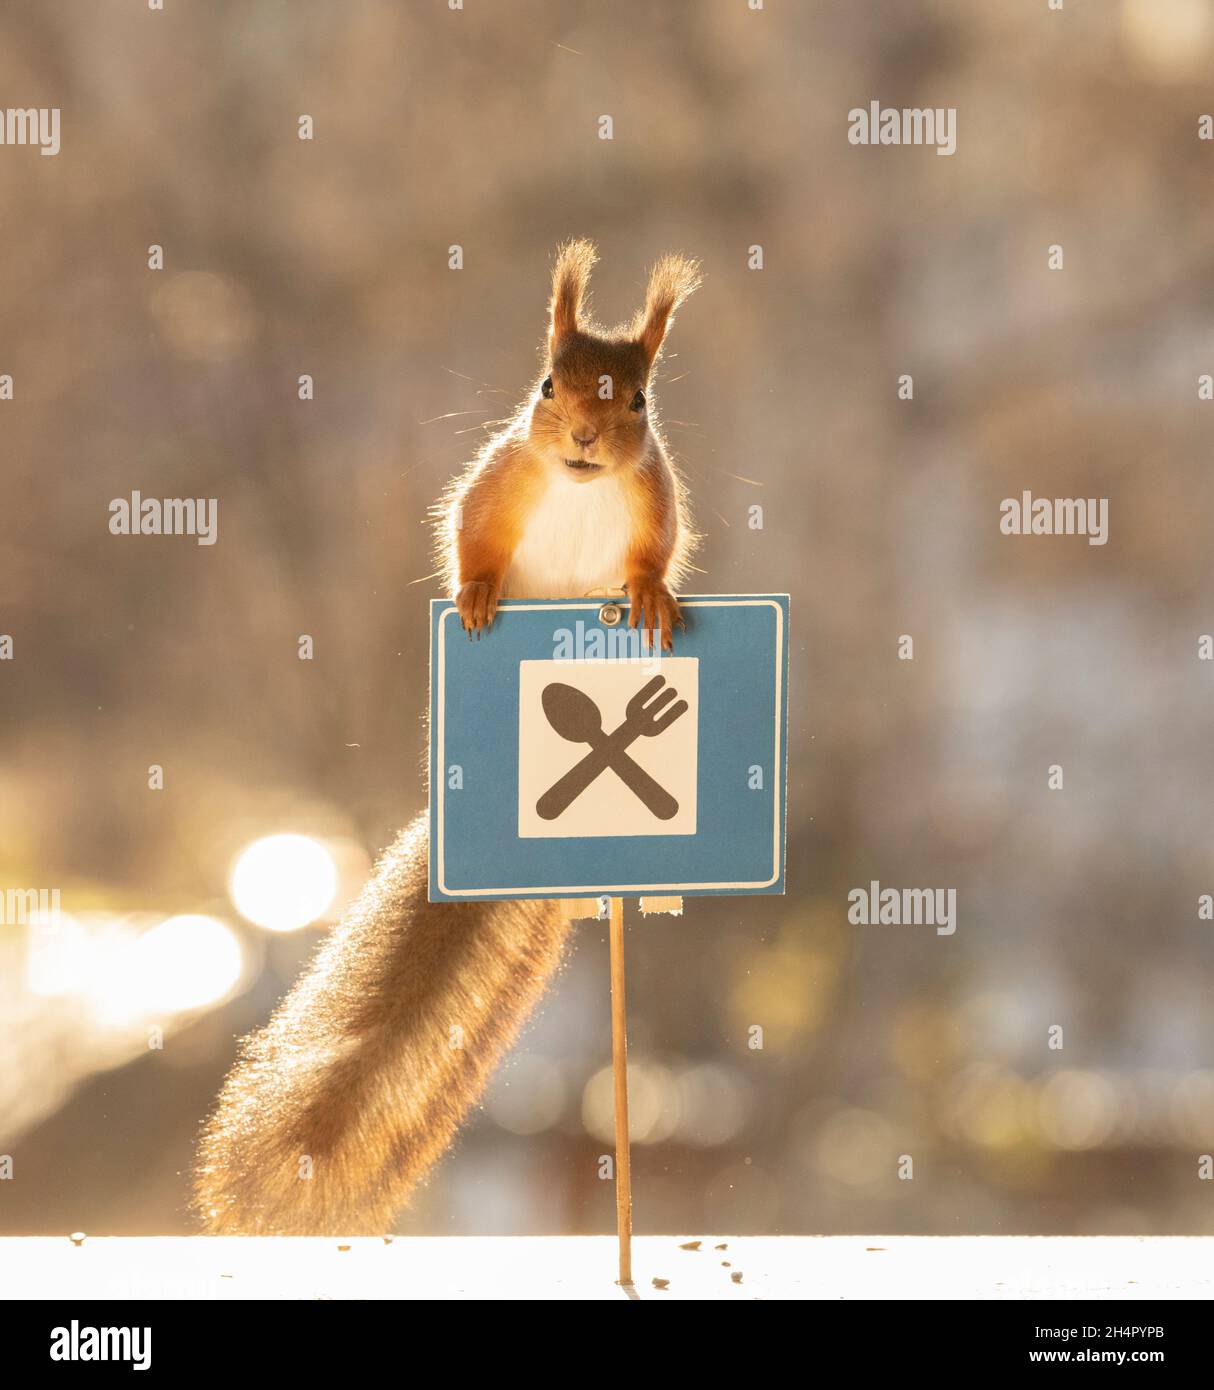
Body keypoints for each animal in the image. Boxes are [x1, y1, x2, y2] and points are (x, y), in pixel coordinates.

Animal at [193, 240, 701, 1234]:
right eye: (546, 386)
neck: (579, 488)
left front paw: (650, 596)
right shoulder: (496, 487)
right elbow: (467, 534)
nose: (586, 440)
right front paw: (474, 596)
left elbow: (654, 556)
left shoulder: (655, 503)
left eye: (639, 402)